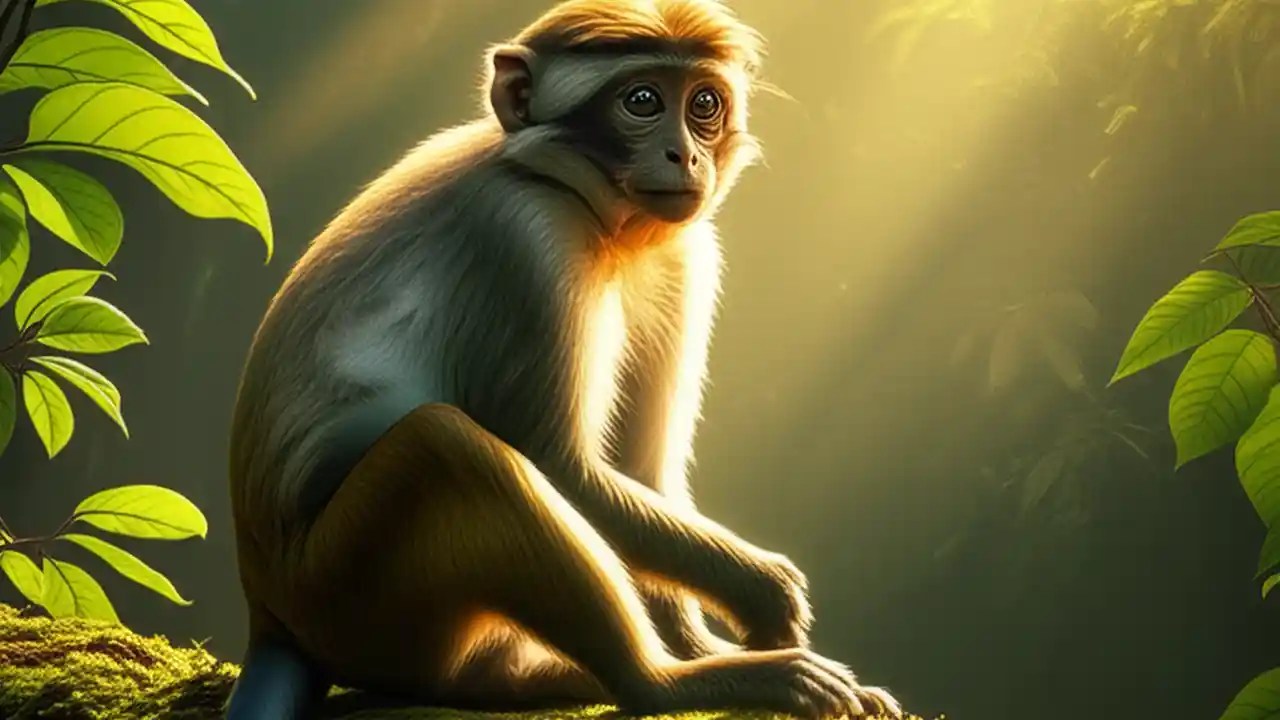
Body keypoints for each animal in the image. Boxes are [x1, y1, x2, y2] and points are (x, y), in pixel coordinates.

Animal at [223, 1, 901, 719]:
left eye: (704, 104)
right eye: (642, 101)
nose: (684, 153)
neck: (592, 210)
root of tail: (267, 609)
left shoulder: (682, 253)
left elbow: (641, 472)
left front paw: (703, 640)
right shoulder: (524, 235)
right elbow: (559, 464)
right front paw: (760, 594)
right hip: (345, 590)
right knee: (447, 450)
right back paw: (661, 682)